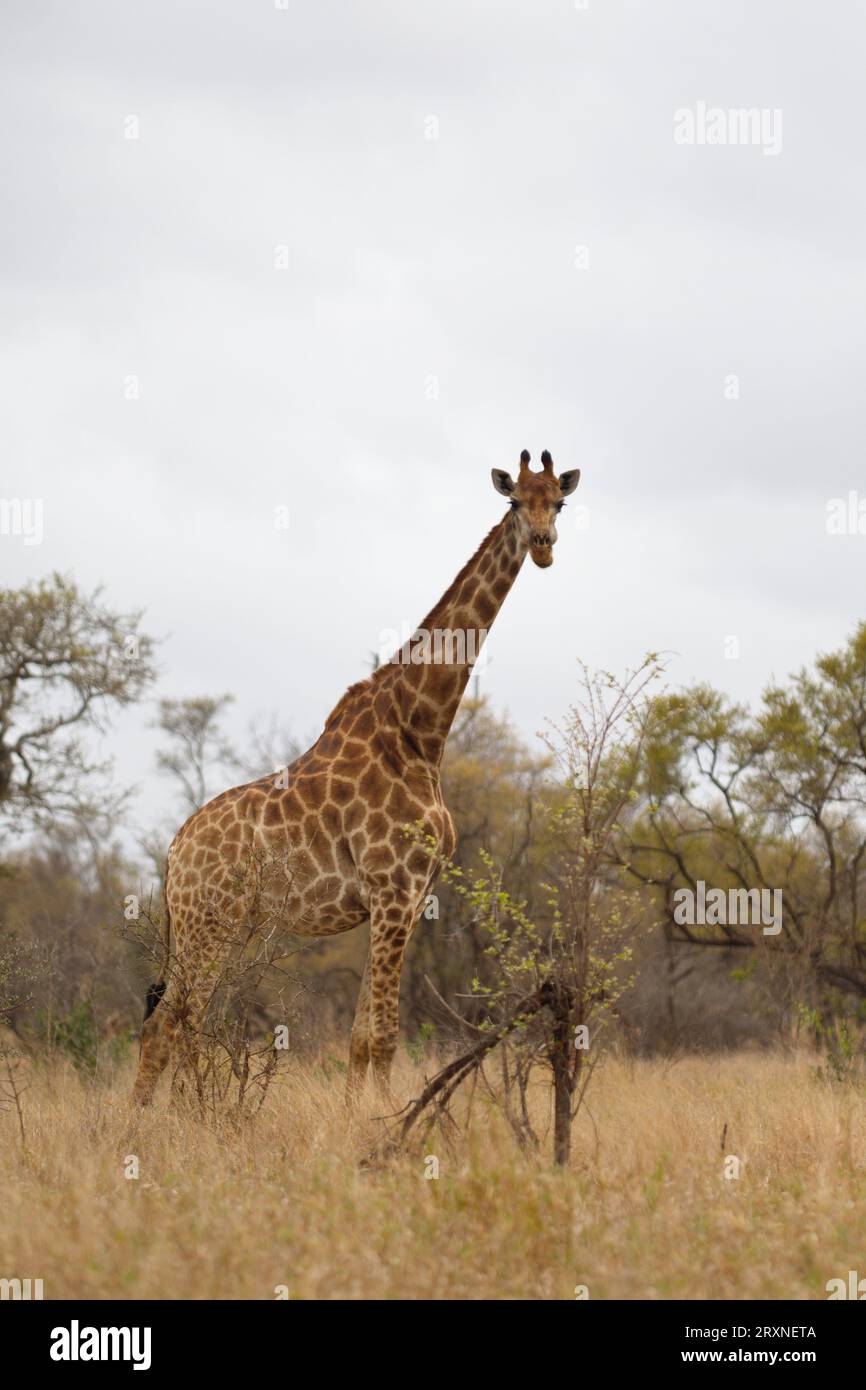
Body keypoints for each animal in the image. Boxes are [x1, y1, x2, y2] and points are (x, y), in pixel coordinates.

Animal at [131, 450, 580, 1107]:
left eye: (561, 502)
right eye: (515, 501)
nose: (545, 546)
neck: (421, 733)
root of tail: (172, 853)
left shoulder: (406, 900)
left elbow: (361, 1037)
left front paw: (358, 1120)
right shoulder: (395, 890)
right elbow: (388, 1036)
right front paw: (389, 1124)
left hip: (213, 927)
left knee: (174, 1023)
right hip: (207, 924)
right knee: (170, 1022)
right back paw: (180, 1122)